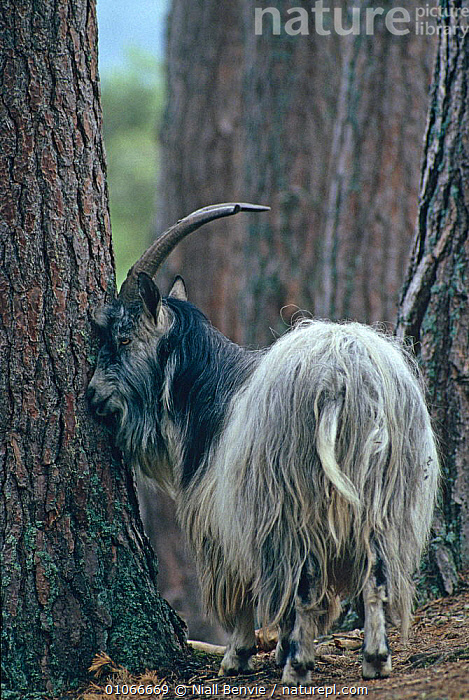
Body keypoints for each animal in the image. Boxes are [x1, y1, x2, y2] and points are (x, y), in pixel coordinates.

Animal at [87, 203, 439, 685]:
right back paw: (374, 659)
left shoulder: (221, 519)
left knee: (307, 580)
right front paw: (278, 649)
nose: (92, 395)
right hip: (384, 498)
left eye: (123, 338)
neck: (213, 396)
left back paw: (300, 667)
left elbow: (239, 590)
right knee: (376, 575)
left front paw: (239, 656)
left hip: (300, 498)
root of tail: (345, 376)